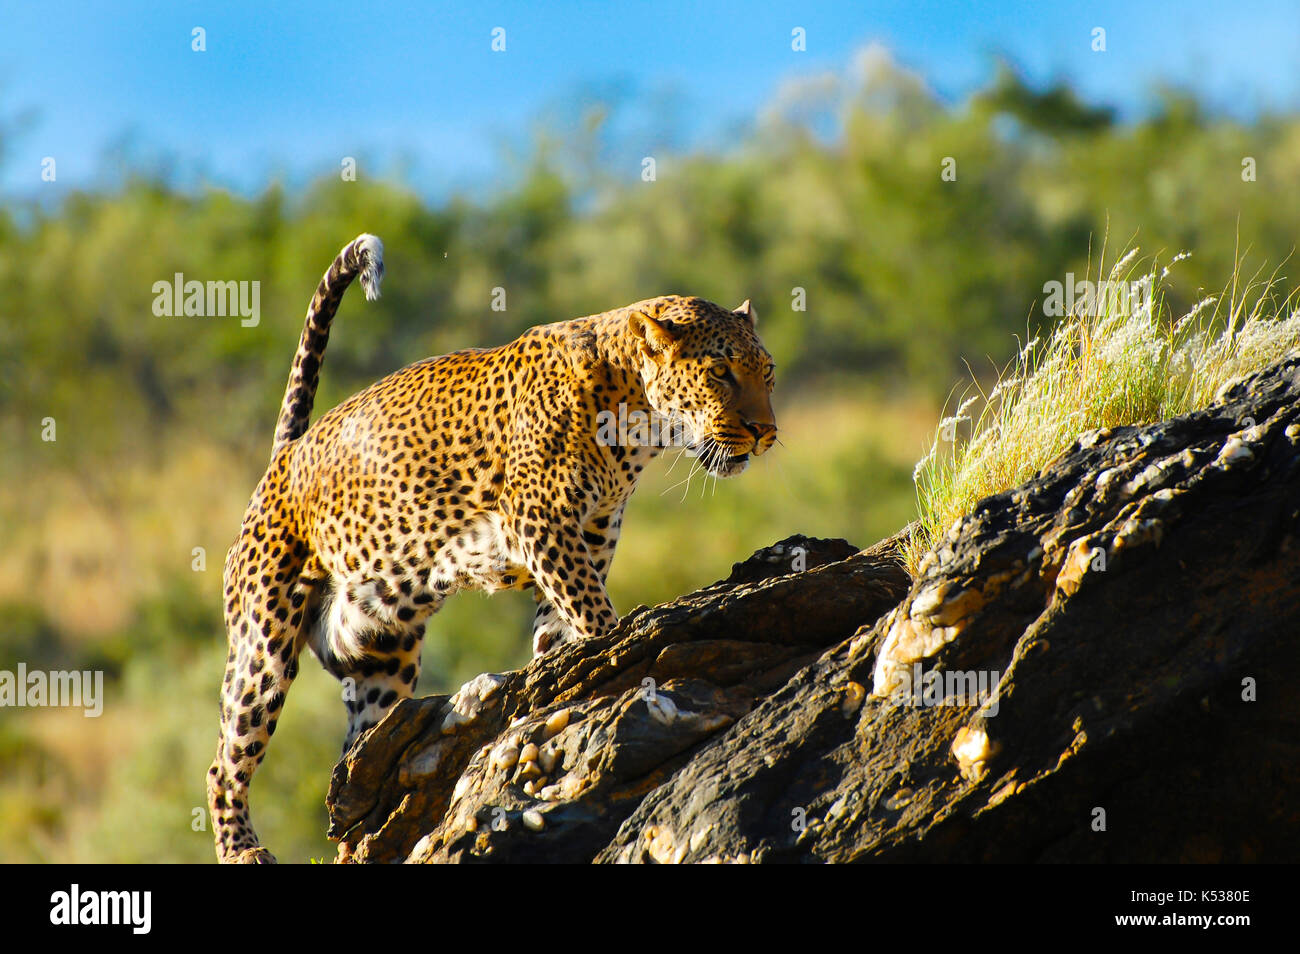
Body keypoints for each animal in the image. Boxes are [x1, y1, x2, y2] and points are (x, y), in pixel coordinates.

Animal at [206, 233, 778, 862]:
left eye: (768, 374)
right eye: (720, 373)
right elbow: (597, 618)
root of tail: (287, 456)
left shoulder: (587, 539)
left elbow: (559, 633)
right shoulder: (543, 524)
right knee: (225, 761)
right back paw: (242, 847)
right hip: (264, 636)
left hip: (381, 648)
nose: (765, 432)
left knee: (353, 758)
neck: (637, 422)